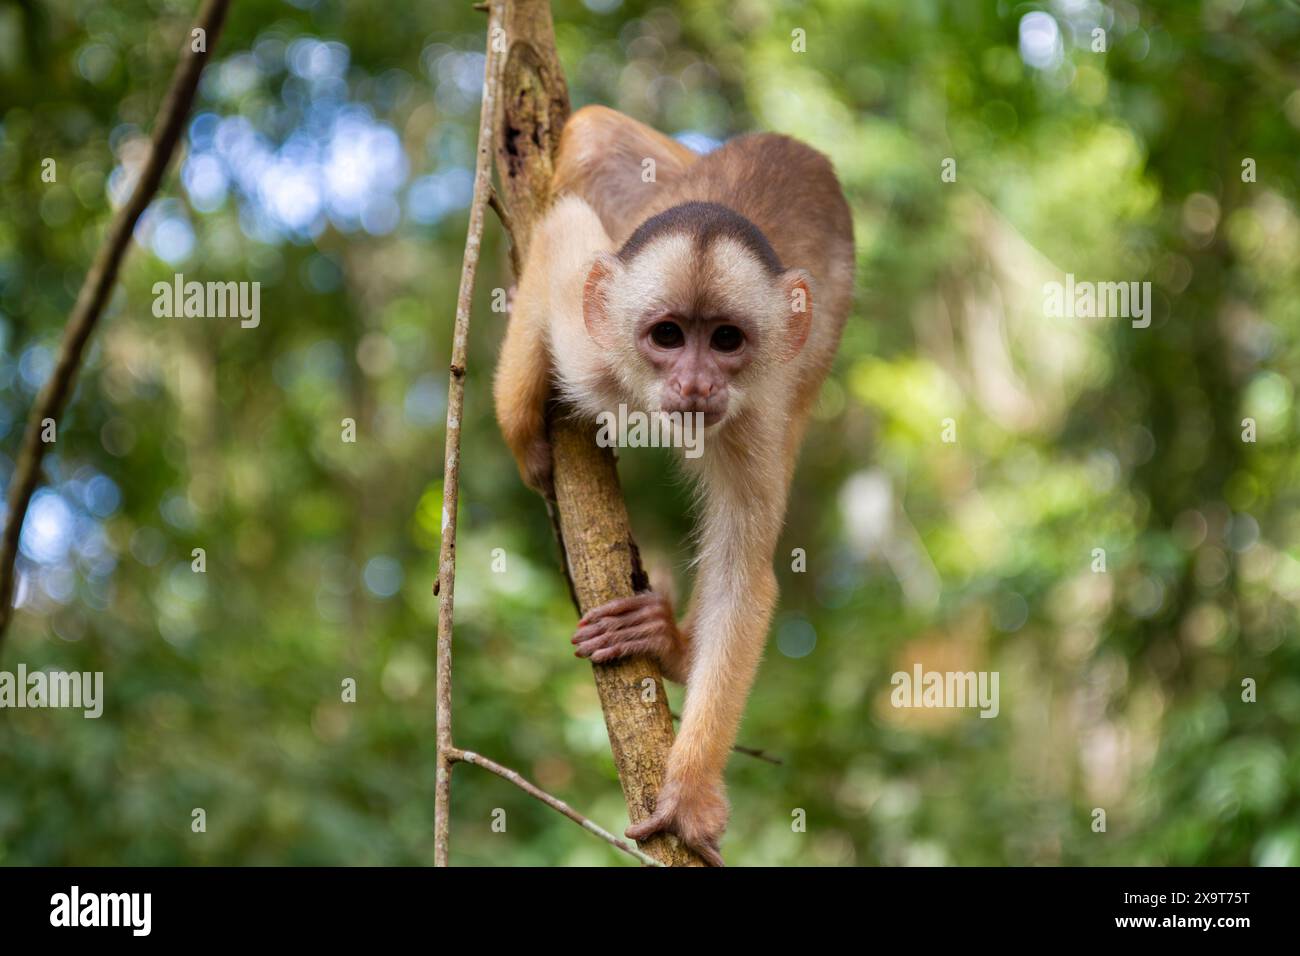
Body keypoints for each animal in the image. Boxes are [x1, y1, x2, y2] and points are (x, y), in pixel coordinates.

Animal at [494, 105, 855, 865]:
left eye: (725, 340)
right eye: (667, 335)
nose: (694, 385)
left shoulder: (753, 418)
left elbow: (744, 577)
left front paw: (688, 792)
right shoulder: (589, 340)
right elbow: (562, 235)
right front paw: (523, 431)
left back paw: (665, 644)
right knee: (590, 132)